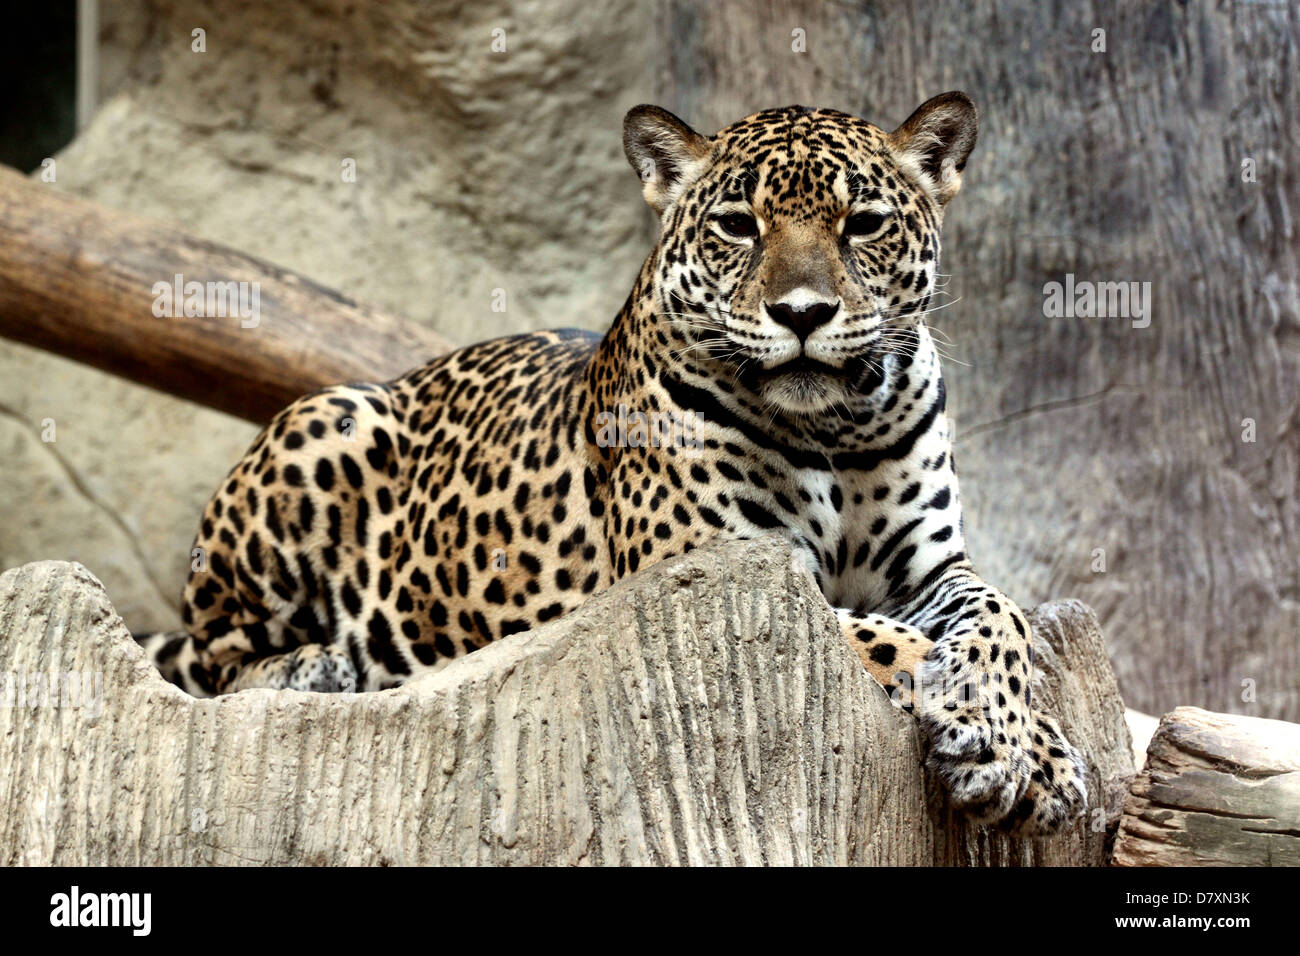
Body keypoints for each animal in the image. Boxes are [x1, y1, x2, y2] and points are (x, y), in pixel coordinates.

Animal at [138, 92, 1088, 833]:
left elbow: (1003, 617)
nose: (802, 313)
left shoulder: (929, 567)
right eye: (738, 227)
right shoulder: (704, 571)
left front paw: (1020, 738)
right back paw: (318, 665)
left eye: (863, 226)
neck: (838, 429)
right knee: (218, 658)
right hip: (328, 421)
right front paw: (1016, 740)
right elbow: (881, 640)